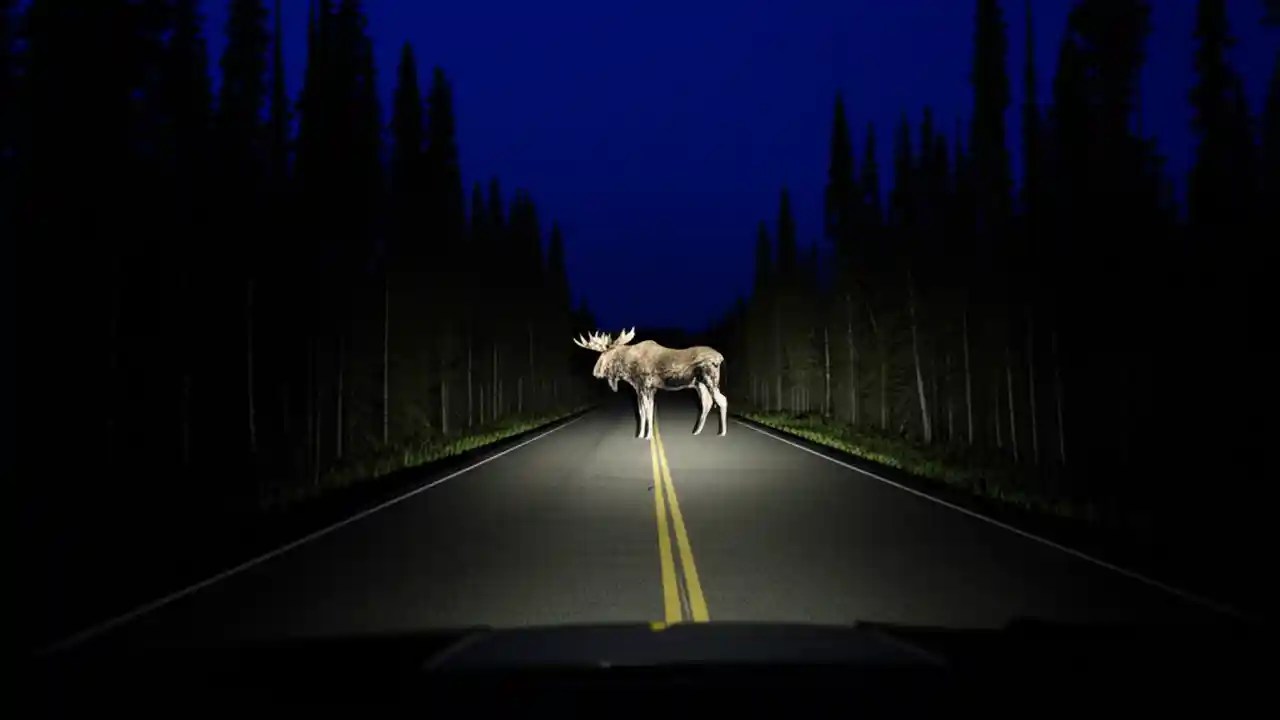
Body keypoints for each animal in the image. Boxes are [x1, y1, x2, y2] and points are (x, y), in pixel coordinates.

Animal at [573, 327, 728, 440]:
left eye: (607, 354)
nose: (596, 372)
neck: (628, 368)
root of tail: (720, 357)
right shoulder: (641, 389)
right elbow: (642, 412)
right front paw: (640, 435)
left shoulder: (646, 387)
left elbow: (648, 411)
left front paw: (648, 436)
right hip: (700, 384)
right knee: (707, 403)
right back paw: (696, 431)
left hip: (711, 380)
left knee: (722, 400)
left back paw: (722, 433)